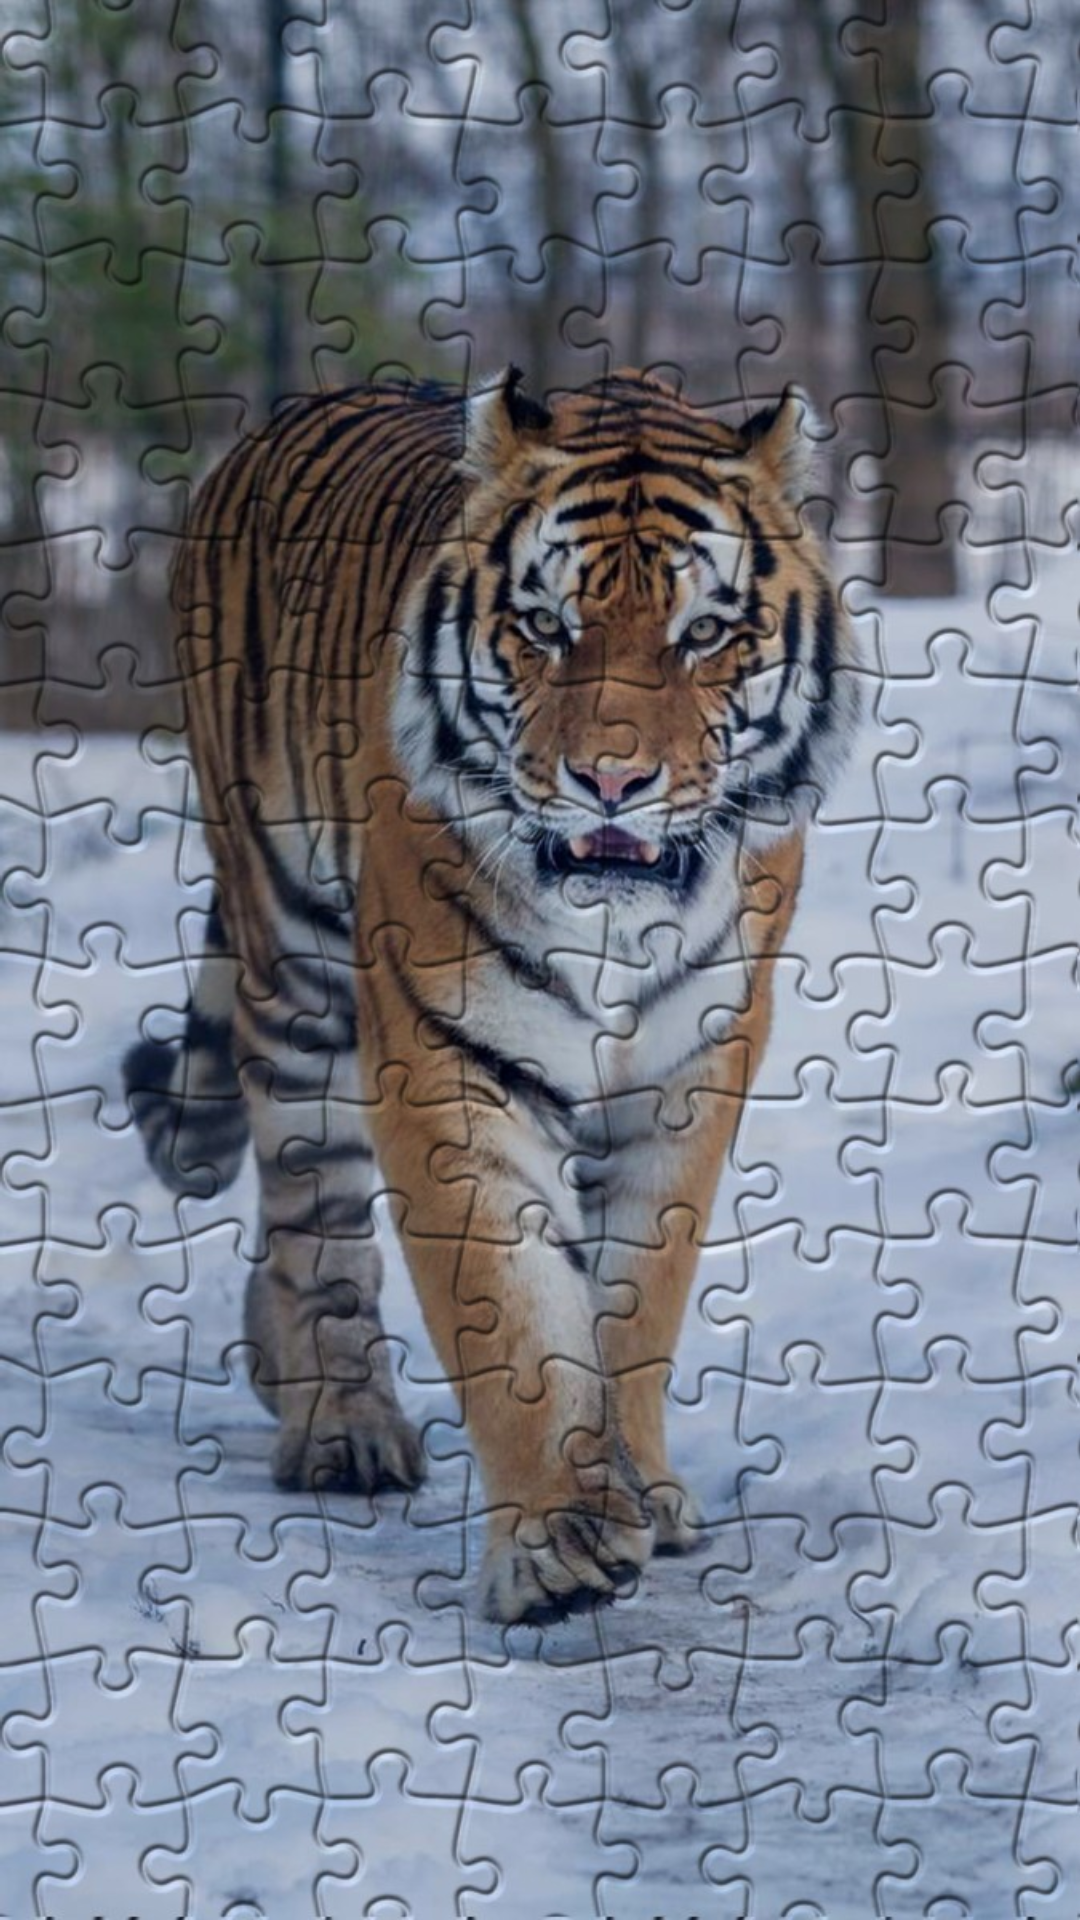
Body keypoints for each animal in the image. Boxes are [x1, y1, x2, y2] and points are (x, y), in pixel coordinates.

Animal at [125, 365, 861, 1623]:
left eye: (704, 633)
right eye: (545, 628)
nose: (611, 779)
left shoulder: (691, 1064)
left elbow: (636, 1298)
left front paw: (639, 1487)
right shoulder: (443, 1048)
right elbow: (509, 1307)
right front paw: (560, 1542)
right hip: (294, 953)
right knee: (311, 1211)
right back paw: (340, 1426)